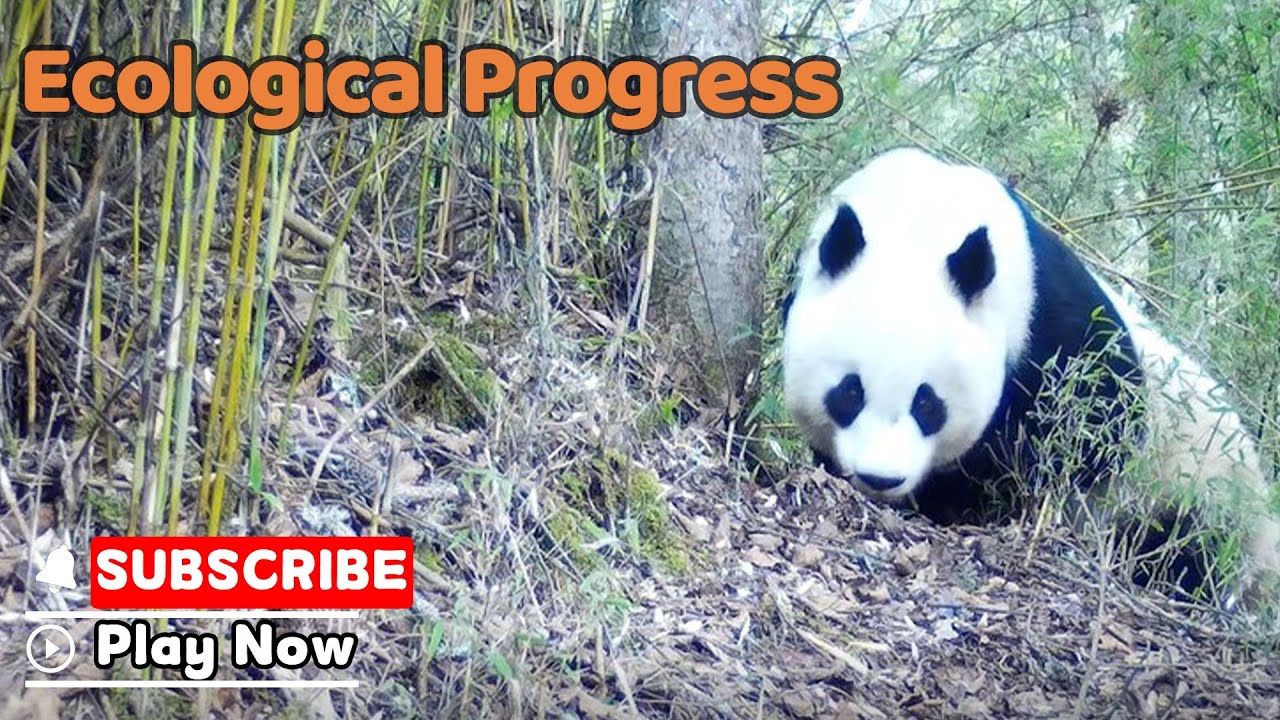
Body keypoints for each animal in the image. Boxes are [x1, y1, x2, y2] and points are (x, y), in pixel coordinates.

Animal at [781, 147, 1280, 605]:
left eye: (928, 403)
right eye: (849, 392)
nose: (881, 478)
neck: (919, 220)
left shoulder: (1051, 317)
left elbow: (1096, 427)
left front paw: (967, 494)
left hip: (1198, 490)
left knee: (1183, 550)